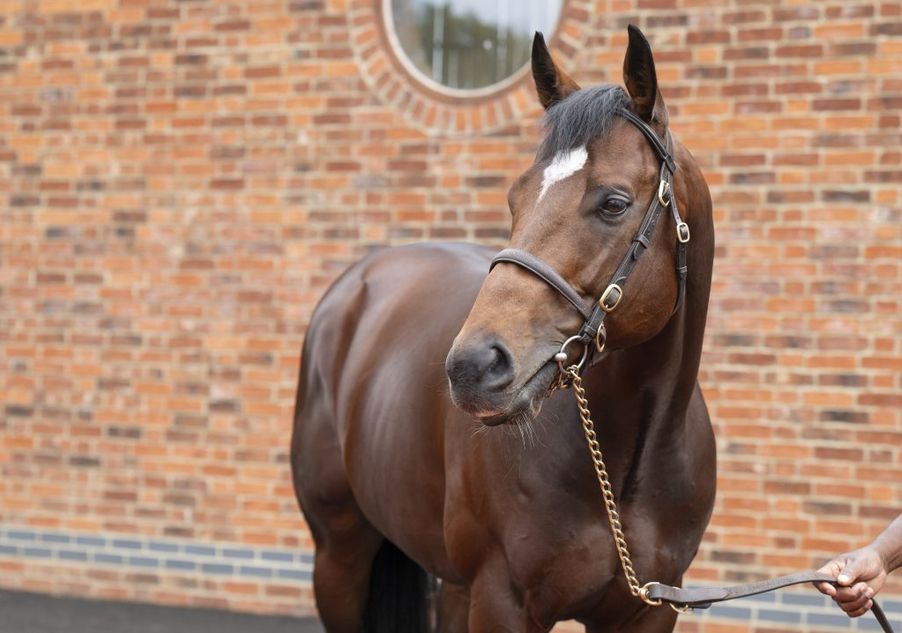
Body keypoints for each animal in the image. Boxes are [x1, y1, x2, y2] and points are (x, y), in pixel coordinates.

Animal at [292, 25, 716, 632]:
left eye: (614, 203)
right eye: (515, 198)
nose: (473, 368)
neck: (625, 469)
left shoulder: (649, 611)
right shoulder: (500, 600)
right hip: (339, 558)